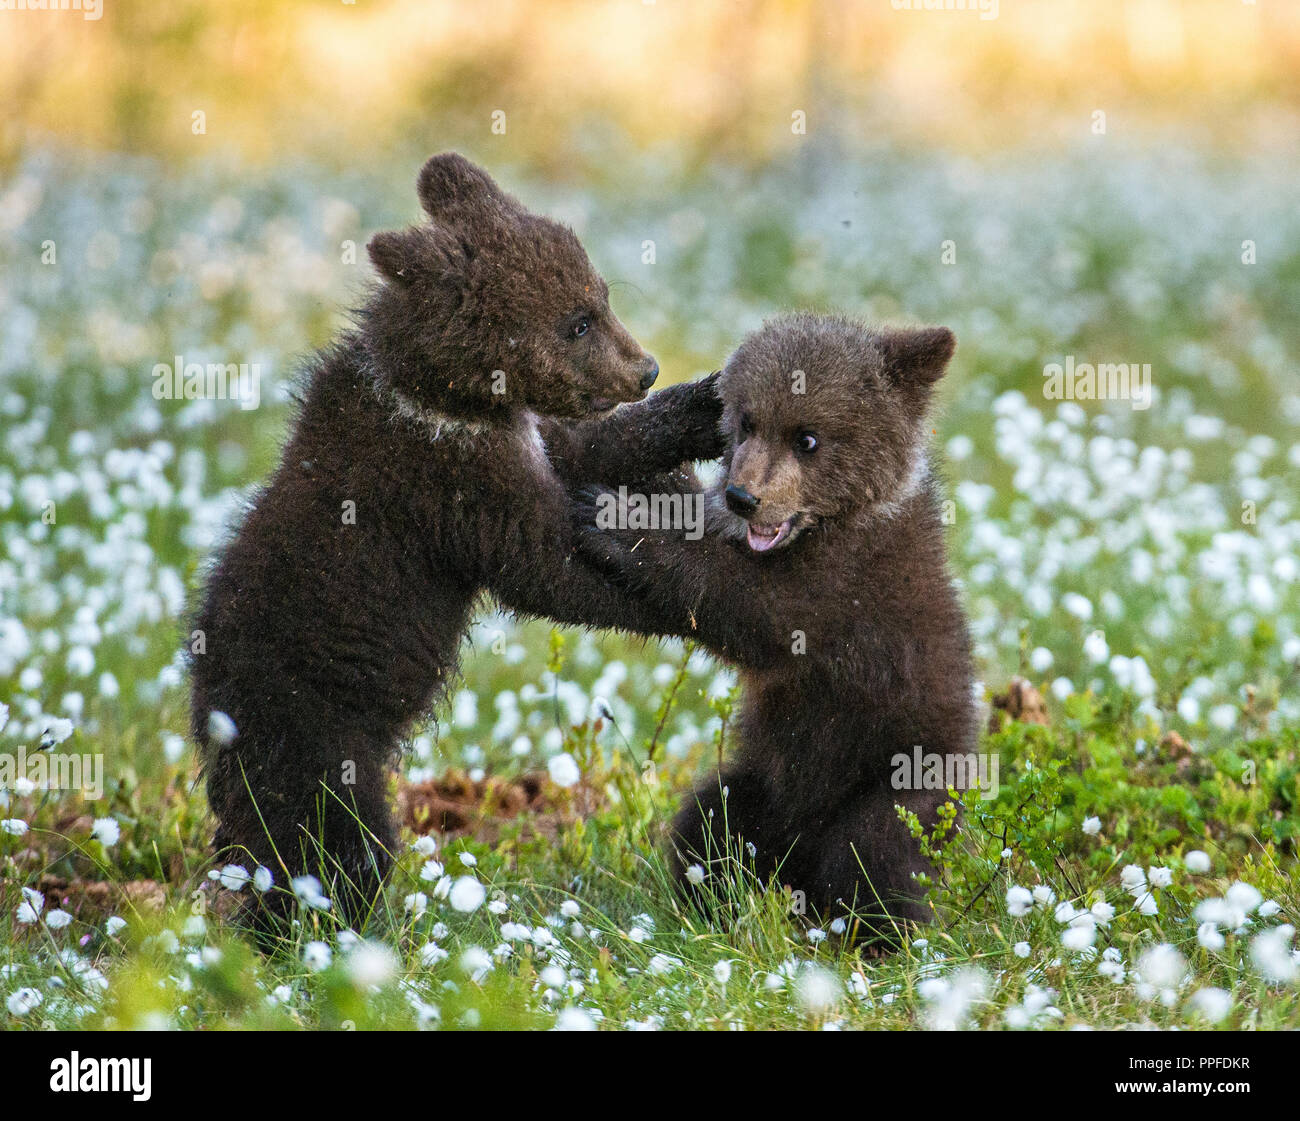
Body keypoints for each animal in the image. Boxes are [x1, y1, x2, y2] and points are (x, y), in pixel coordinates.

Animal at [188, 153, 723, 931]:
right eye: (577, 322)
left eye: (600, 297)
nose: (645, 367)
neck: (449, 393)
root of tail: (208, 708)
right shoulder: (447, 485)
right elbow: (547, 566)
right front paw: (682, 598)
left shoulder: (521, 435)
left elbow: (593, 446)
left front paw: (703, 405)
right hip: (308, 727)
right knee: (330, 839)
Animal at [568, 313, 977, 940]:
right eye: (746, 421)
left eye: (807, 437)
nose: (742, 496)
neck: (832, 522)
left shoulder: (846, 590)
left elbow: (749, 604)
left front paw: (619, 520)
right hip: (762, 786)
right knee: (710, 822)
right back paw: (713, 904)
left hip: (905, 780)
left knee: (875, 854)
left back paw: (877, 933)